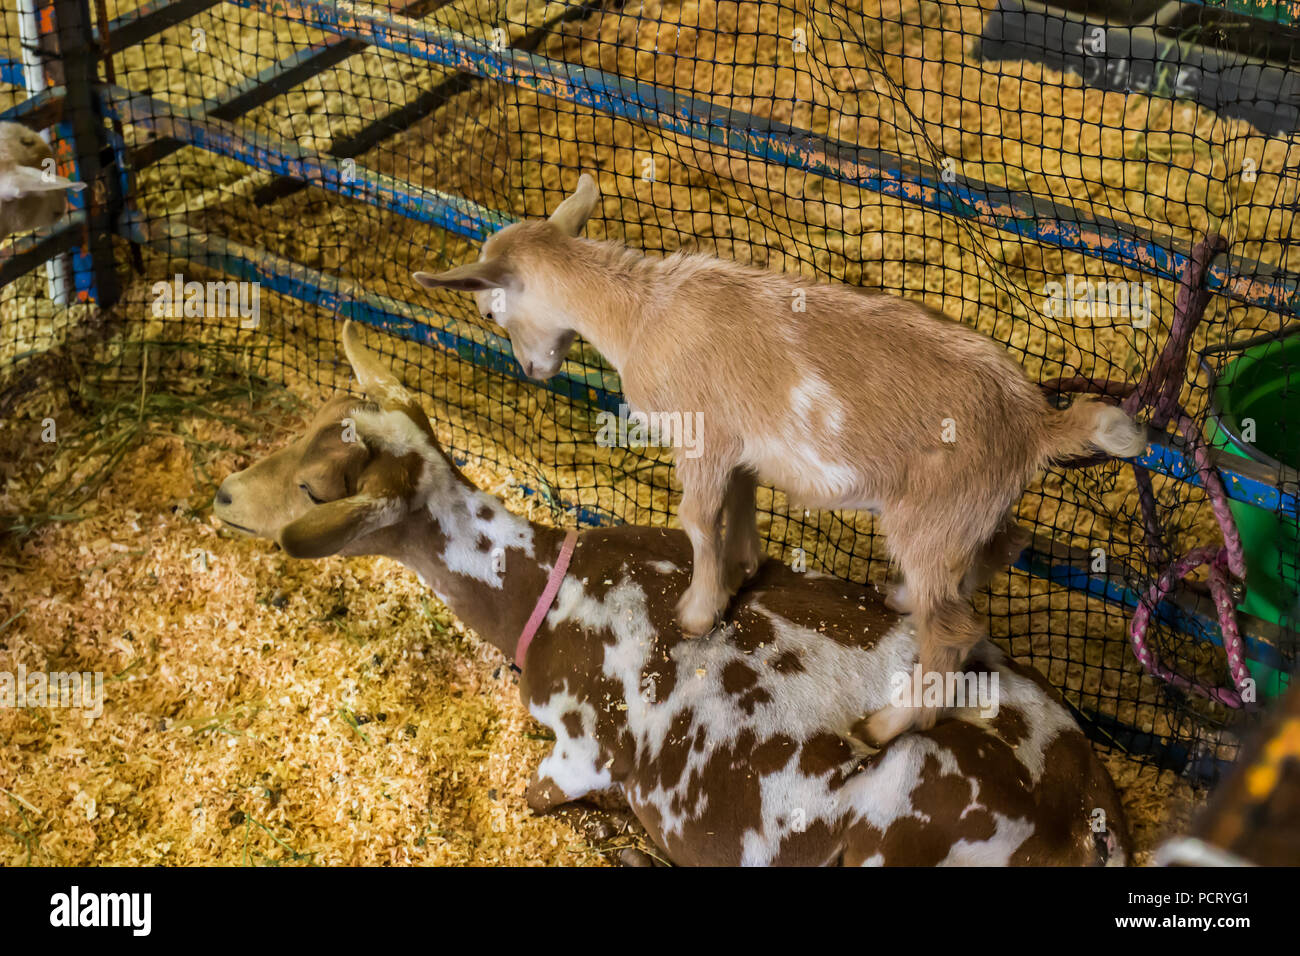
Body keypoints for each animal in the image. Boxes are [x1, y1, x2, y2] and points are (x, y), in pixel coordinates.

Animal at [212, 320, 1131, 866]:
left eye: (316, 488)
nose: (223, 496)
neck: (541, 587)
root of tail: (1088, 818)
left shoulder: (576, 752)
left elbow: (539, 795)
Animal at [411, 173, 1147, 743]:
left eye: (490, 310)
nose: (531, 371)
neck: (640, 312)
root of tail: (1036, 422)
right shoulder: (739, 447)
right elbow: (738, 507)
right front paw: (743, 572)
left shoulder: (701, 436)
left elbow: (696, 518)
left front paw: (698, 612)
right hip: (971, 511)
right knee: (1002, 549)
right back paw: (905, 595)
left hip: (932, 515)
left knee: (957, 629)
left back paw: (890, 724)